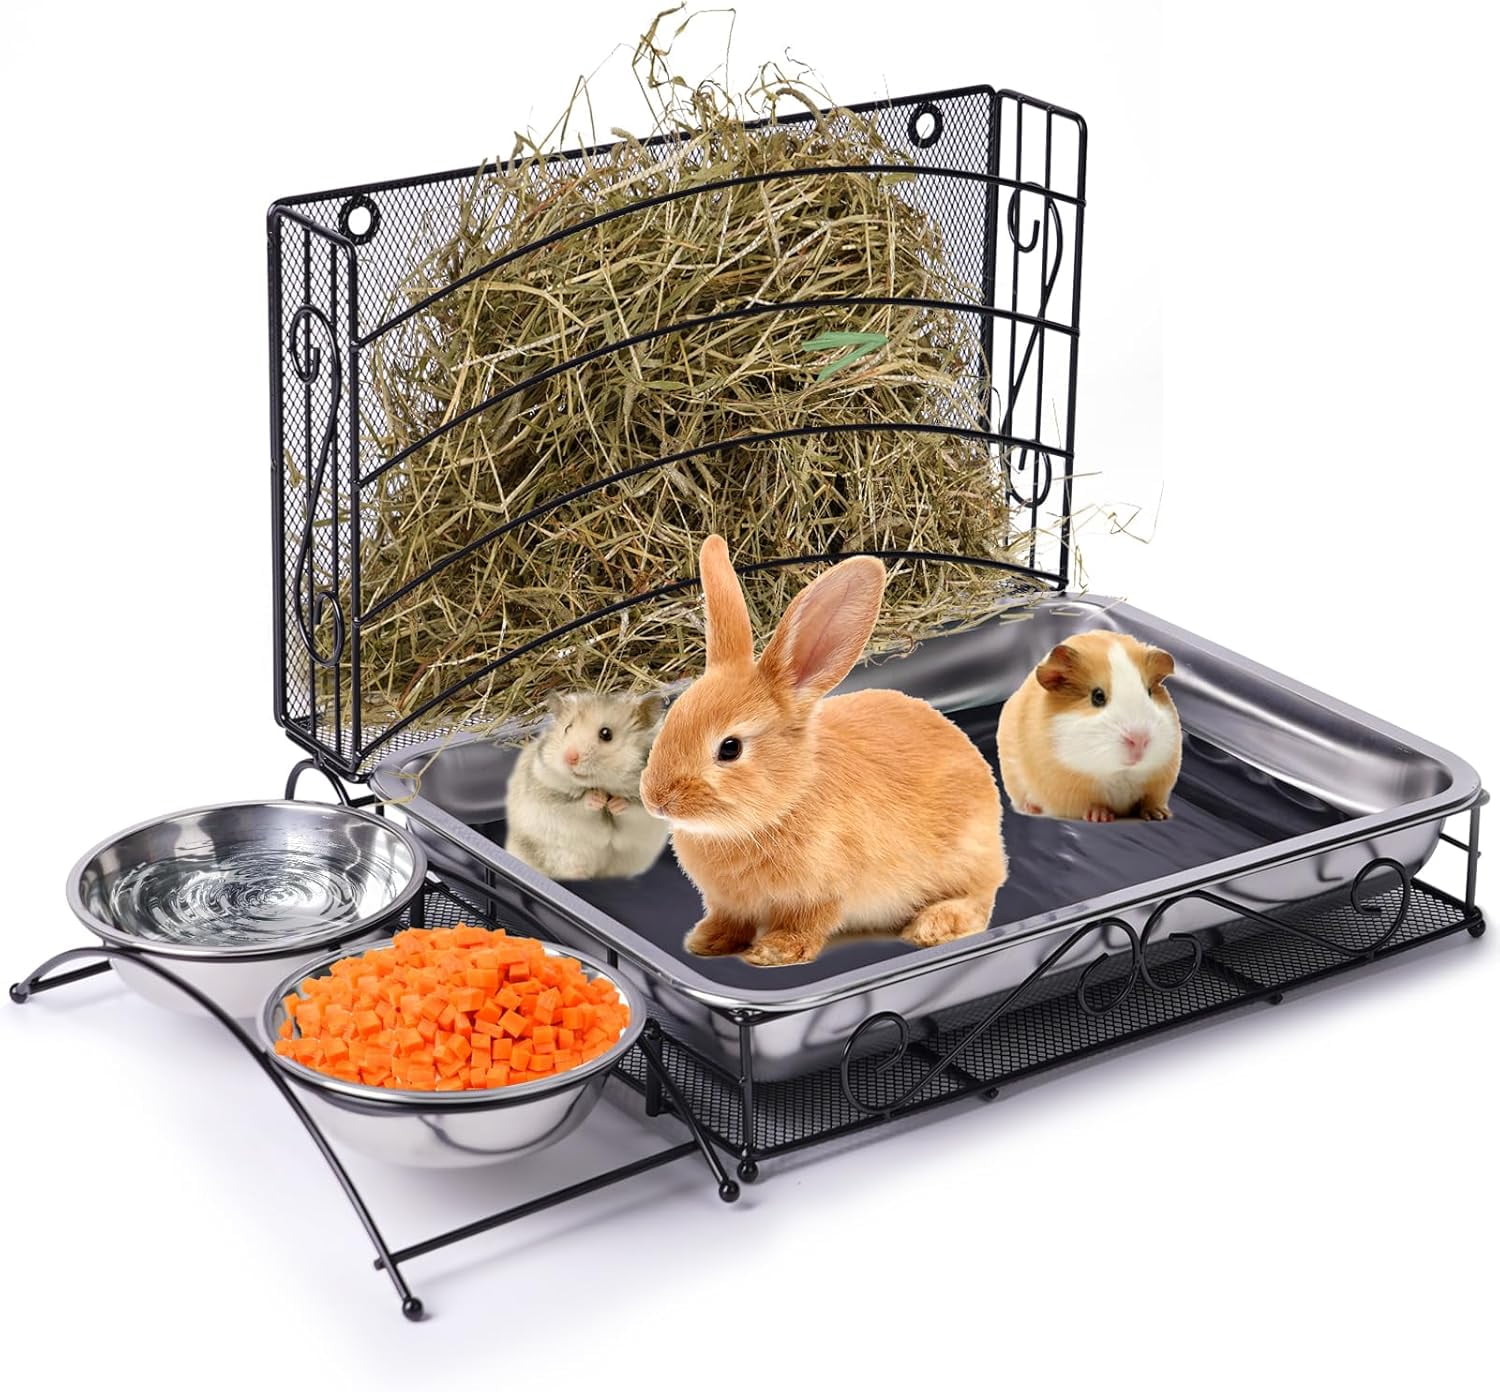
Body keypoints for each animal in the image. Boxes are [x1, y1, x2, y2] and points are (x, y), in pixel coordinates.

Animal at [505, 690, 668, 880]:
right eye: (567, 728)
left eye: (606, 734)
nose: (569, 757)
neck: (602, 785)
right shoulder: (551, 797)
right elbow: (579, 804)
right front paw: (597, 799)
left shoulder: (647, 809)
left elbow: (630, 808)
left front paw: (614, 804)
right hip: (562, 856)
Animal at [640, 535, 1007, 966]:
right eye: (671, 719)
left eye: (730, 748)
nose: (657, 799)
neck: (783, 804)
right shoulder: (728, 903)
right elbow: (729, 921)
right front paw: (707, 942)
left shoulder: (821, 893)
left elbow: (807, 924)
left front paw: (773, 951)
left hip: (965, 859)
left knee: (980, 898)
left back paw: (933, 926)